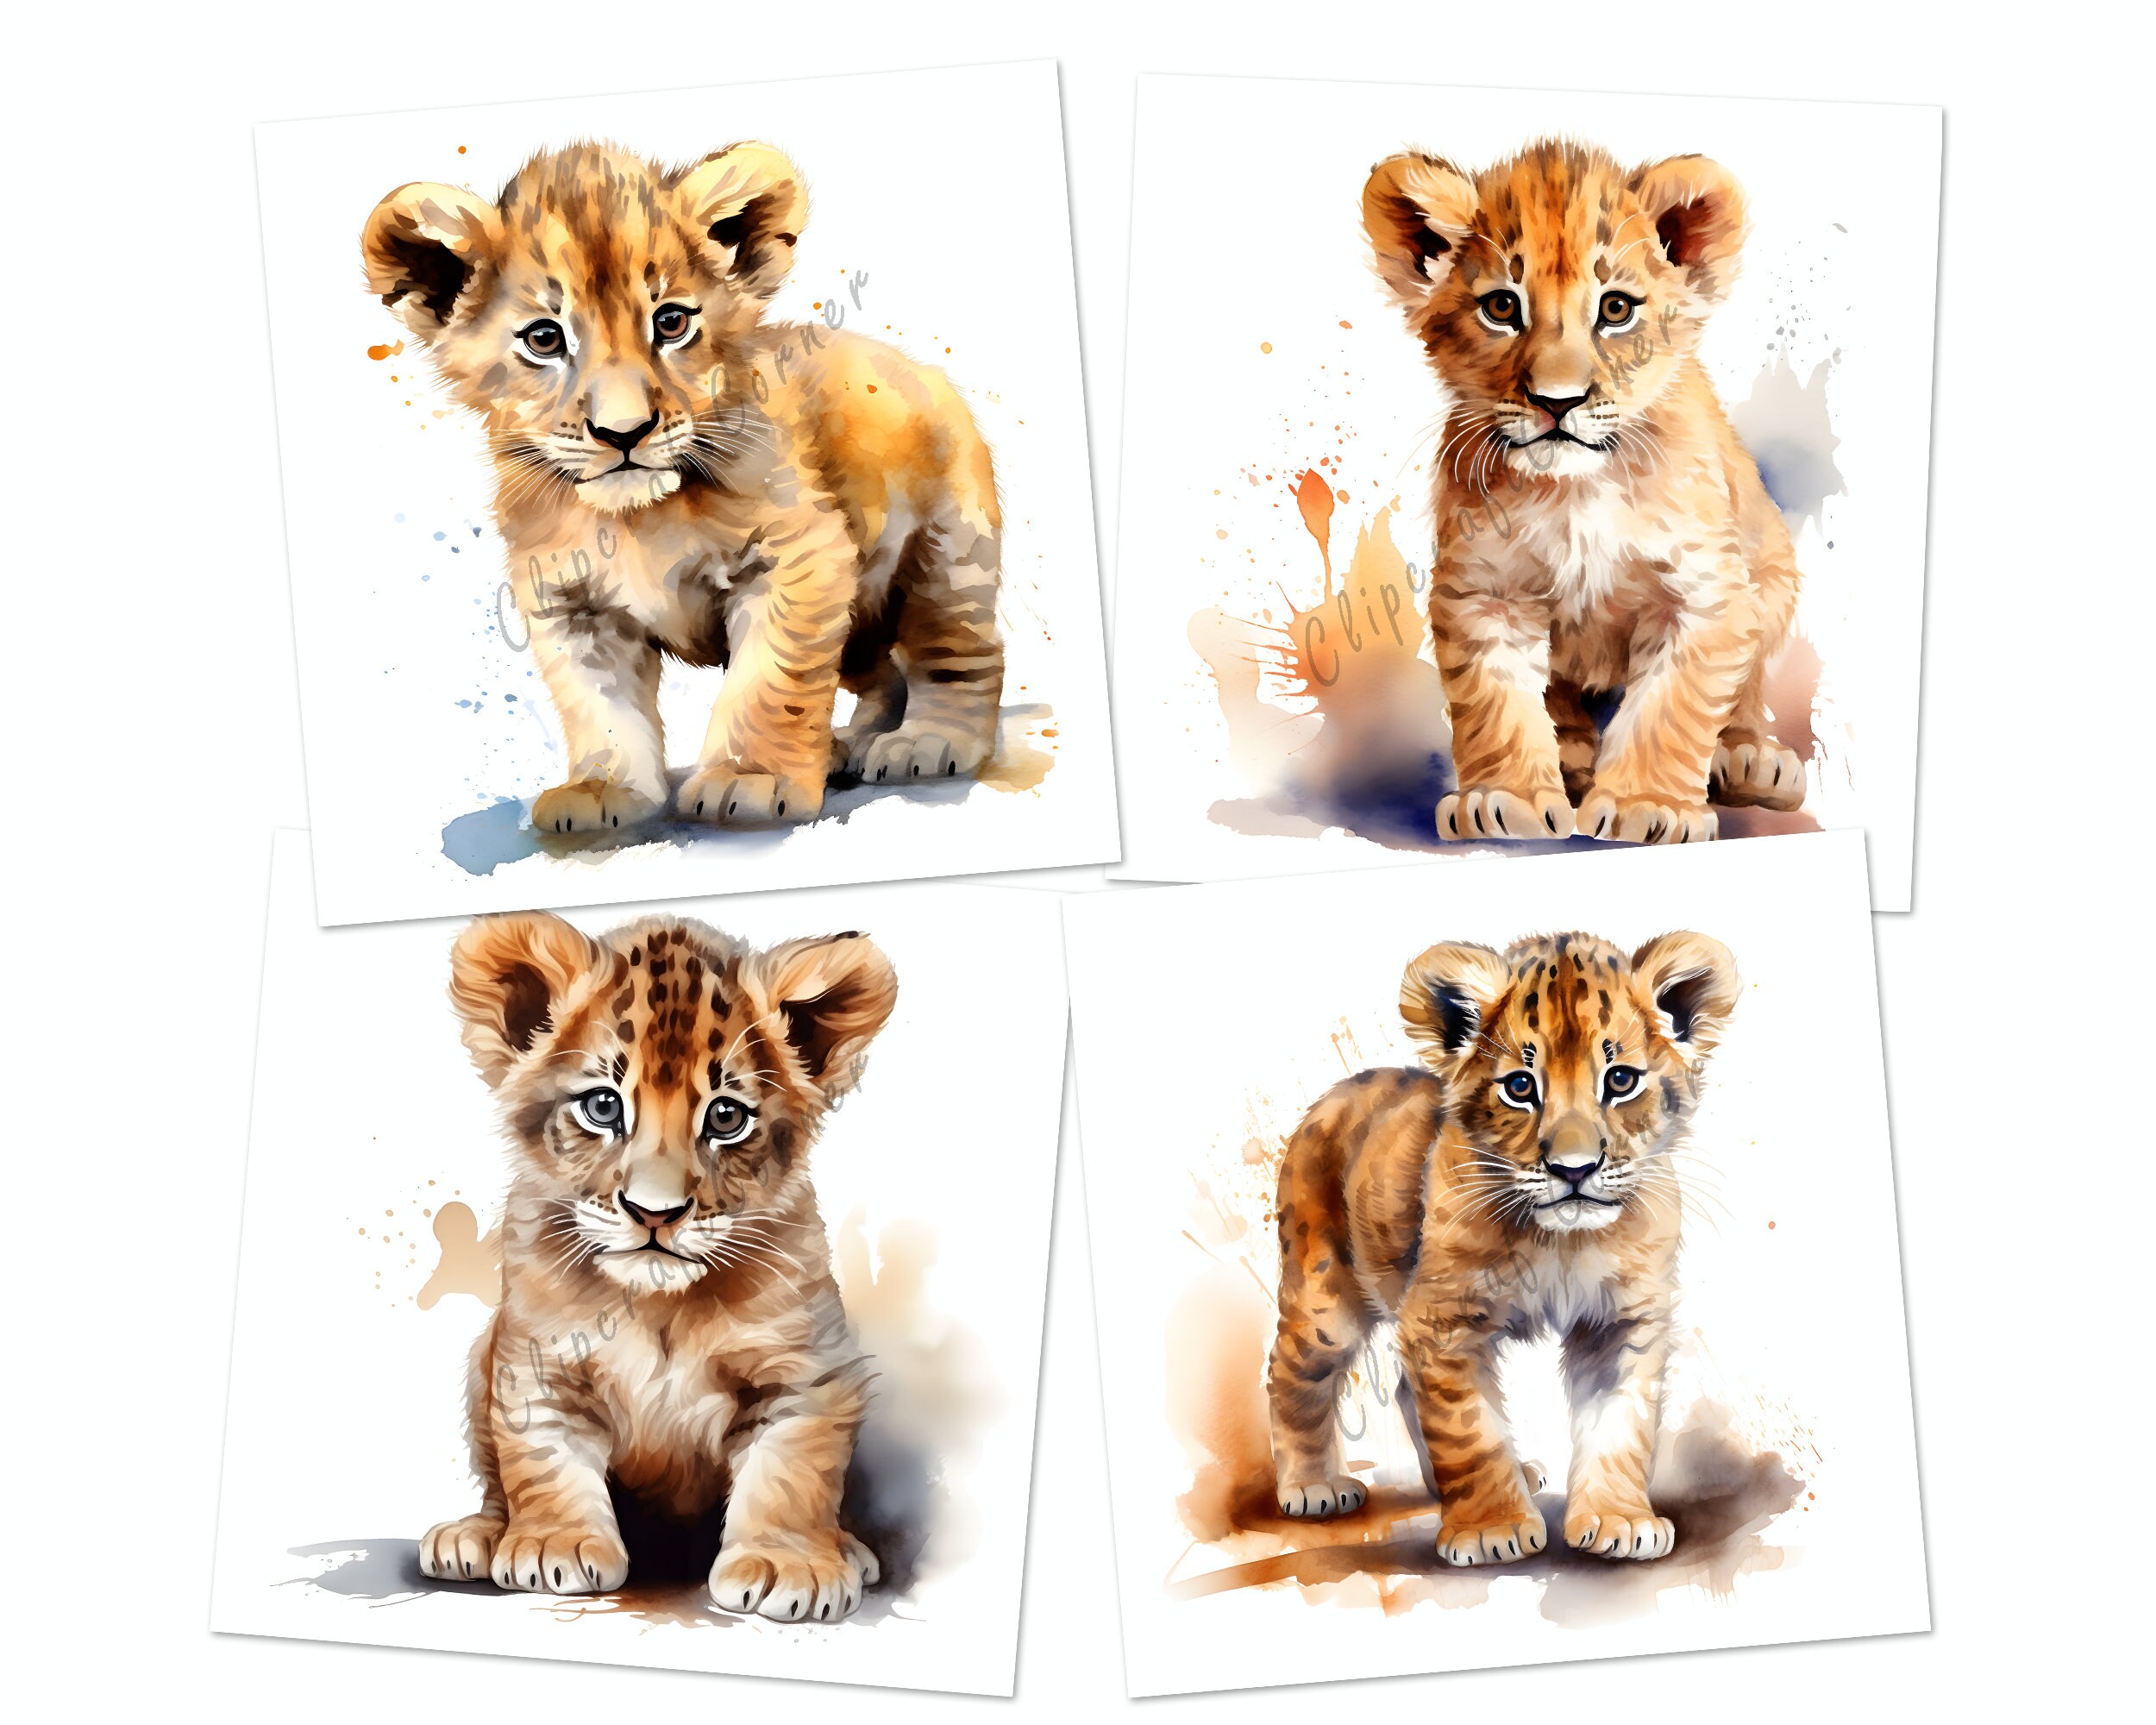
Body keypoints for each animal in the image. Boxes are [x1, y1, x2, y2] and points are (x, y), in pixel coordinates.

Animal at [362, 143, 1004, 835]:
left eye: (671, 322)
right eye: (544, 339)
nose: (624, 432)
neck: (634, 519)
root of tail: (920, 369)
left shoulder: (800, 557)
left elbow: (771, 681)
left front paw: (752, 778)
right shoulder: (568, 603)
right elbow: (601, 707)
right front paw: (604, 790)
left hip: (946, 557)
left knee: (962, 656)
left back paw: (928, 742)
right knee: (880, 676)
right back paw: (847, 747)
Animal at [419, 910, 897, 1620]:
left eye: (726, 1117)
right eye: (603, 1106)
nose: (654, 1213)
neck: (658, 1307)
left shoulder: (805, 1374)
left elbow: (790, 1473)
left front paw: (791, 1567)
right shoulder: (536, 1369)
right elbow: (544, 1463)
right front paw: (556, 1546)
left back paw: (849, 1550)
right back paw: (474, 1537)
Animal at [1267, 930, 1740, 1566]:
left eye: (1620, 1081)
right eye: (1521, 1087)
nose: (1574, 1169)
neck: (1562, 1242)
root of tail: (1345, 1087)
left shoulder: (1625, 1320)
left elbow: (1621, 1427)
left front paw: (1619, 1521)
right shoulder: (1443, 1320)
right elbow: (1469, 1429)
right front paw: (1492, 1530)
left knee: (1401, 1386)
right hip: (1325, 1295)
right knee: (1291, 1373)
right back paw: (1313, 1485)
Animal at [1362, 139, 1807, 844]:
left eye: (1616, 309)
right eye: (1501, 307)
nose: (1557, 401)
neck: (1574, 491)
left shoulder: (1703, 594)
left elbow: (1671, 705)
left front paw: (1648, 807)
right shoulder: (1486, 590)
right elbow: (1496, 700)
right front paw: (1504, 799)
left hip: (1773, 574)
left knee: (1743, 693)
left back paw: (1751, 760)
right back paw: (1572, 760)